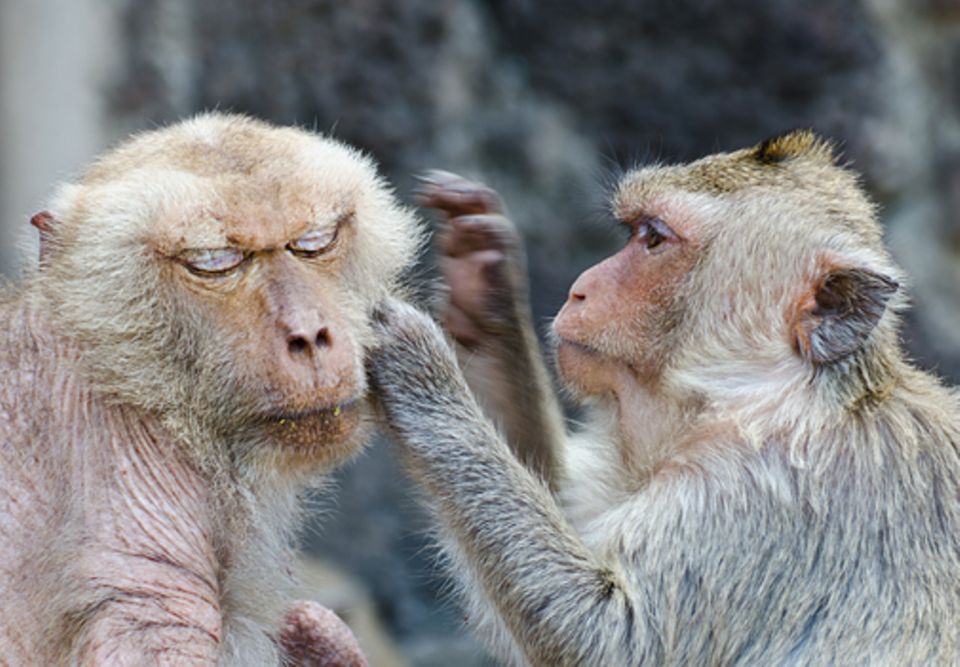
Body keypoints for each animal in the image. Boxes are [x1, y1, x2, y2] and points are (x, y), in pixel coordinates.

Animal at [368, 131, 960, 665]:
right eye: (634, 233)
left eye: (653, 238)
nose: (580, 288)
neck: (766, 394)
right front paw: (487, 290)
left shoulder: (762, 492)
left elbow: (608, 638)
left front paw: (423, 371)